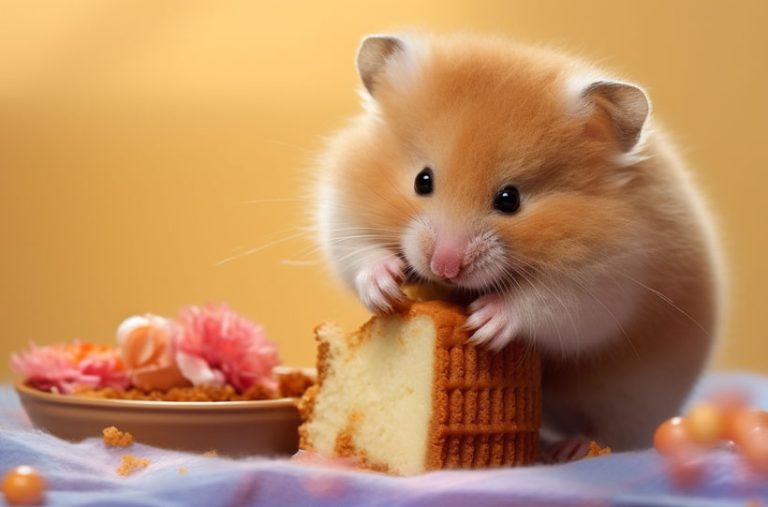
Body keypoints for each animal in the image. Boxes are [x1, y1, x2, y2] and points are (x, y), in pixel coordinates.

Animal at [314, 33, 722, 454]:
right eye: (422, 180)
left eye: (509, 199)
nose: (445, 266)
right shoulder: (340, 212)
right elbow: (358, 253)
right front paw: (384, 287)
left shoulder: (602, 285)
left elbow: (541, 303)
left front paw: (484, 323)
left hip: (633, 403)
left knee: (610, 433)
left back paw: (571, 447)